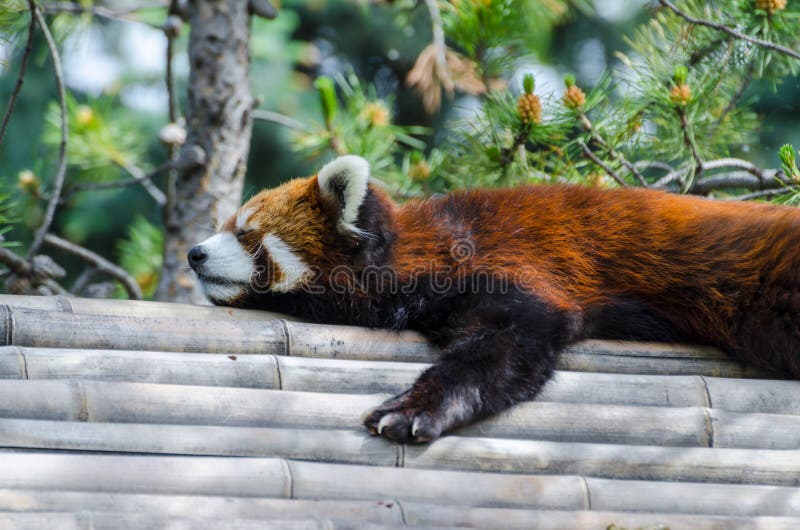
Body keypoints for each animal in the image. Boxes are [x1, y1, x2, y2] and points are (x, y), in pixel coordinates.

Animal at [188, 154, 800, 443]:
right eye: (225, 226)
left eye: (247, 234)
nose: (194, 253)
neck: (414, 253)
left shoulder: (509, 265)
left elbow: (508, 342)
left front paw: (411, 411)